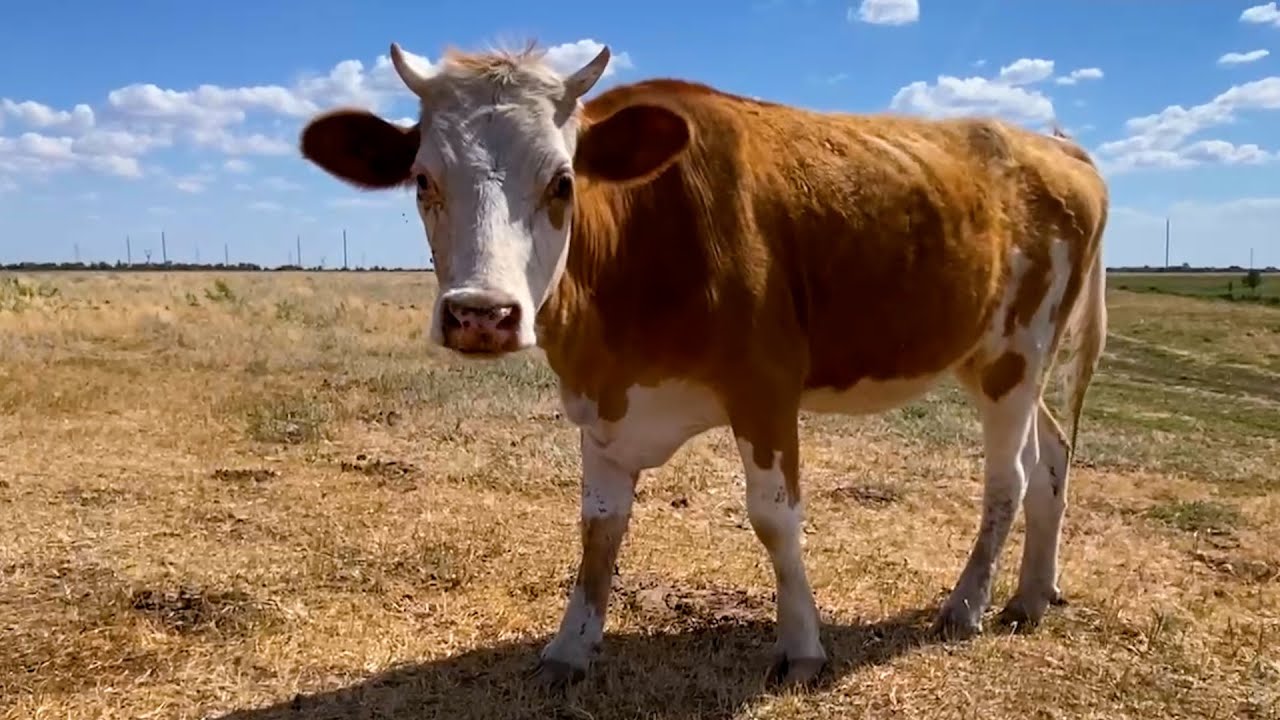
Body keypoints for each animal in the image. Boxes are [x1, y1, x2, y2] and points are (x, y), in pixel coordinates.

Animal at [298, 40, 1109, 689]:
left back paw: (966, 605)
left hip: (1015, 352)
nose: (481, 315)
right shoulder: (602, 400)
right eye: (423, 181)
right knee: (1051, 459)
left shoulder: (766, 387)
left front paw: (802, 647)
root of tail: (1055, 146)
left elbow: (775, 518)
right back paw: (1031, 596)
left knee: (1006, 480)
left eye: (563, 181)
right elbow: (600, 527)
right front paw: (571, 646)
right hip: (991, 358)